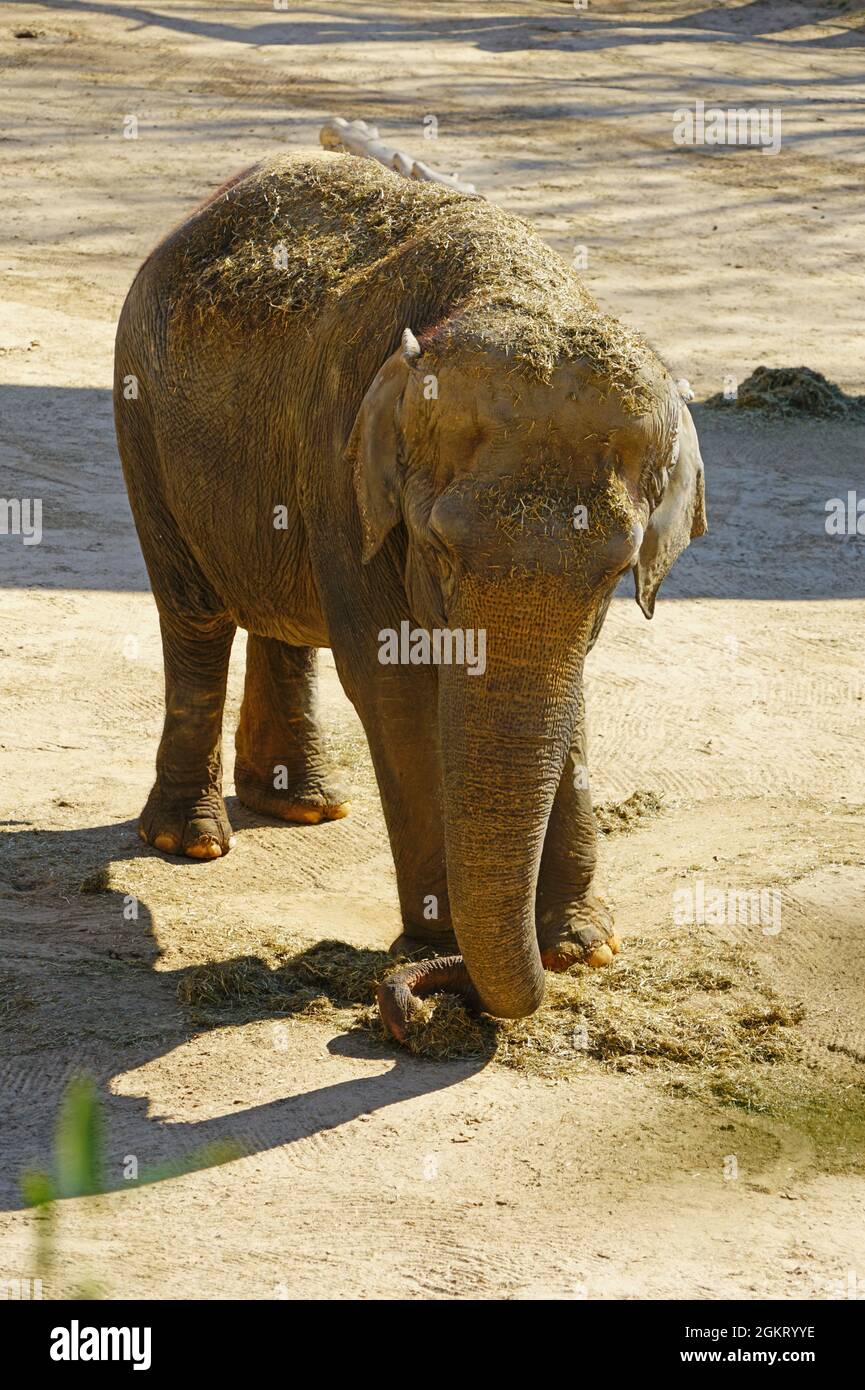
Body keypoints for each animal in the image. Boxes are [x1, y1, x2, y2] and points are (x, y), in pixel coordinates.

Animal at [114, 152, 706, 1041]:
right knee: (195, 618)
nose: (427, 998)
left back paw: (304, 807)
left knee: (281, 615)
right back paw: (193, 841)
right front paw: (435, 940)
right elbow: (392, 685)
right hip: (142, 419)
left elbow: (567, 698)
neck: (504, 286)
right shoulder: (343, 460)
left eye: (615, 574)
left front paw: (582, 948)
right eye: (439, 549)